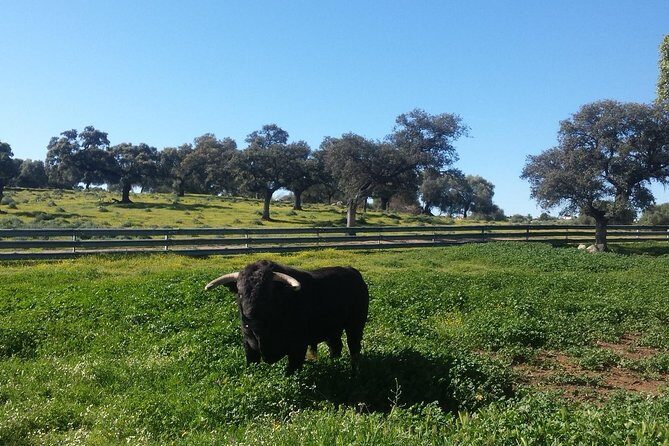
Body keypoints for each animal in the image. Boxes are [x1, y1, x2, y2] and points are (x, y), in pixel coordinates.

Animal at [205, 260, 369, 375]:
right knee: (336, 347)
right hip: (332, 329)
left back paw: (355, 371)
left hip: (355, 326)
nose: (249, 317)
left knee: (354, 348)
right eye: (240, 293)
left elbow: (291, 373)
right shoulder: (249, 347)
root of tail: (351, 270)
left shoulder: (298, 347)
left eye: (266, 294)